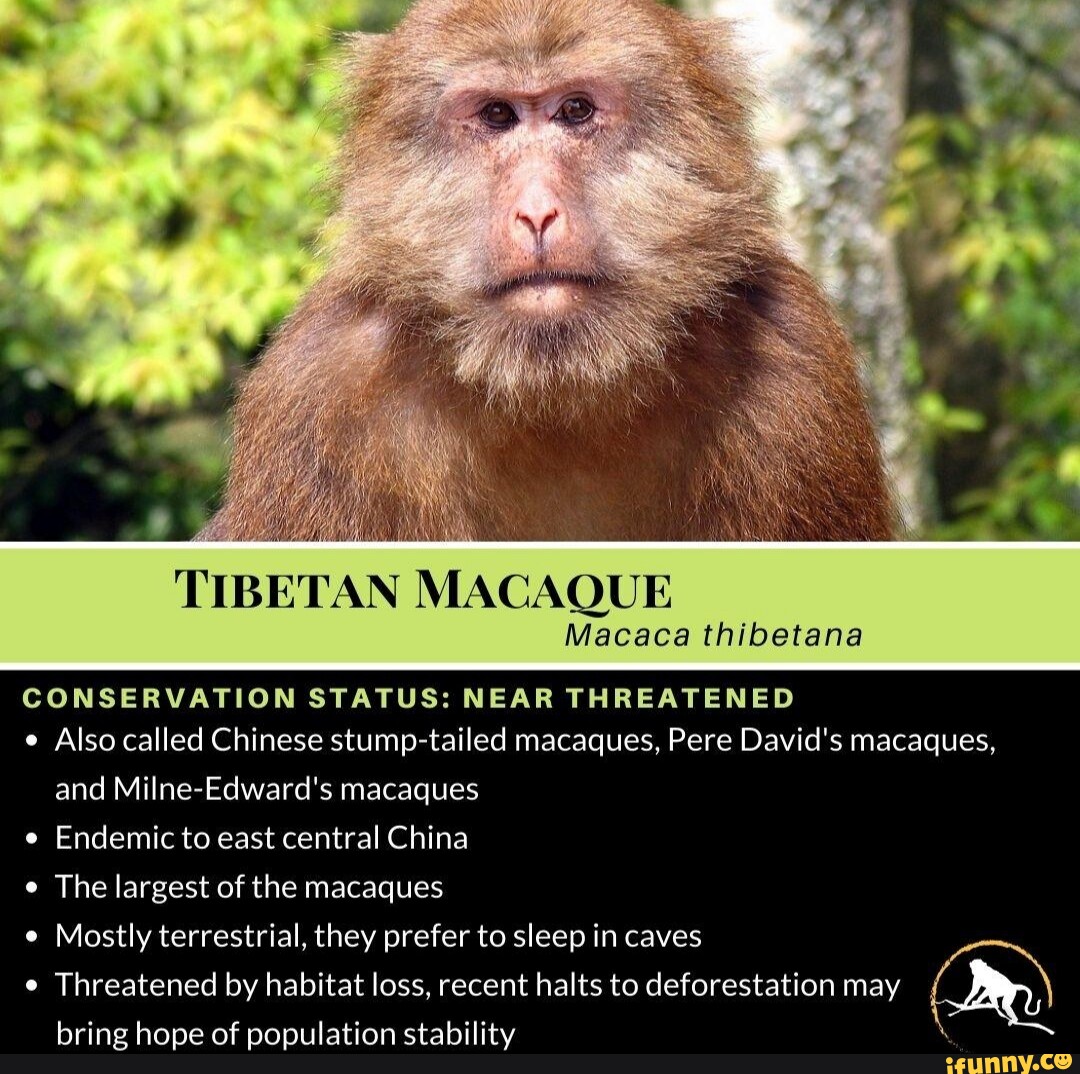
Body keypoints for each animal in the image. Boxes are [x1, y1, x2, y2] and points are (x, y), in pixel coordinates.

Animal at [198, 0, 894, 542]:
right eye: (498, 116)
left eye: (576, 110)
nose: (536, 212)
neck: (552, 385)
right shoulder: (316, 388)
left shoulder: (793, 365)